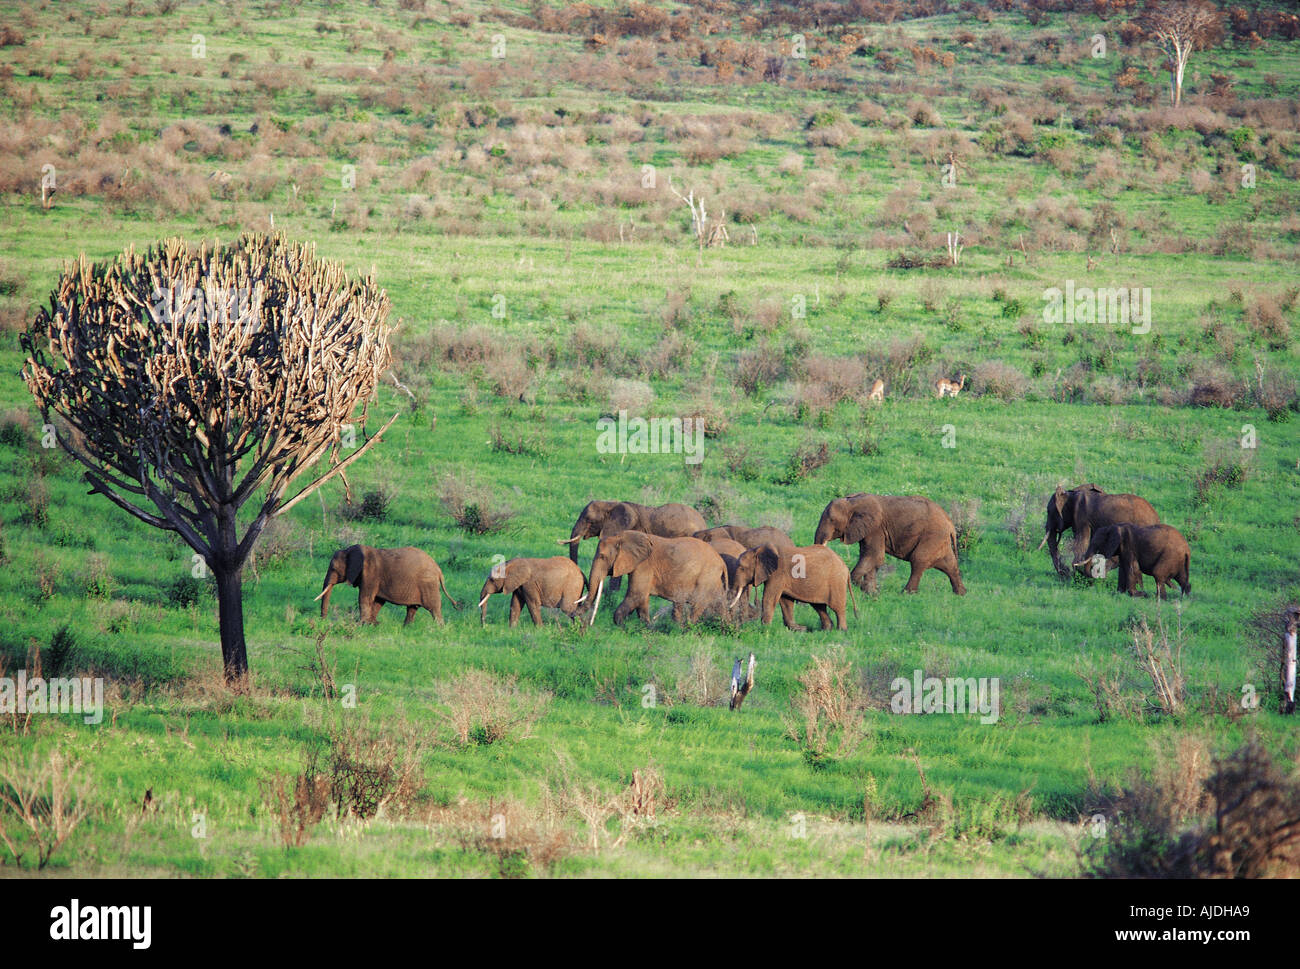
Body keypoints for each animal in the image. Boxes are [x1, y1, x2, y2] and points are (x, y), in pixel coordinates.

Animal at [316, 545, 460, 625]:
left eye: (334, 569)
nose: (323, 621)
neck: (349, 550)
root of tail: (439, 570)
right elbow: (378, 601)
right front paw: (372, 624)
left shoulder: (370, 574)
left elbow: (365, 598)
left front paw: (362, 624)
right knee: (412, 608)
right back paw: (406, 628)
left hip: (428, 585)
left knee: (433, 609)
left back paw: (439, 629)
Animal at [584, 530, 727, 628]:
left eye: (602, 557)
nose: (588, 623)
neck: (621, 537)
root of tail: (721, 561)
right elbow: (642, 599)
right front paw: (647, 628)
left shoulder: (644, 565)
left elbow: (636, 595)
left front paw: (622, 627)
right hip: (713, 579)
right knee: (719, 603)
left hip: (707, 576)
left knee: (698, 603)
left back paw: (687, 629)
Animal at [728, 543, 856, 630]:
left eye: (742, 568)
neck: (760, 549)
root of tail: (845, 567)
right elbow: (786, 601)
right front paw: (799, 629)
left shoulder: (778, 574)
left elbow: (769, 598)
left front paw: (765, 629)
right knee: (819, 606)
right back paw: (826, 630)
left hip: (836, 582)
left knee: (837, 607)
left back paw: (841, 631)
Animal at [813, 493, 966, 595]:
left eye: (831, 520)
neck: (852, 501)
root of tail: (950, 524)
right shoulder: (869, 529)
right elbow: (869, 556)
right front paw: (871, 592)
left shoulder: (876, 528)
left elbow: (874, 556)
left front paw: (863, 587)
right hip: (939, 540)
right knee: (950, 565)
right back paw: (961, 593)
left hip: (932, 536)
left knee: (918, 560)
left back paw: (906, 593)